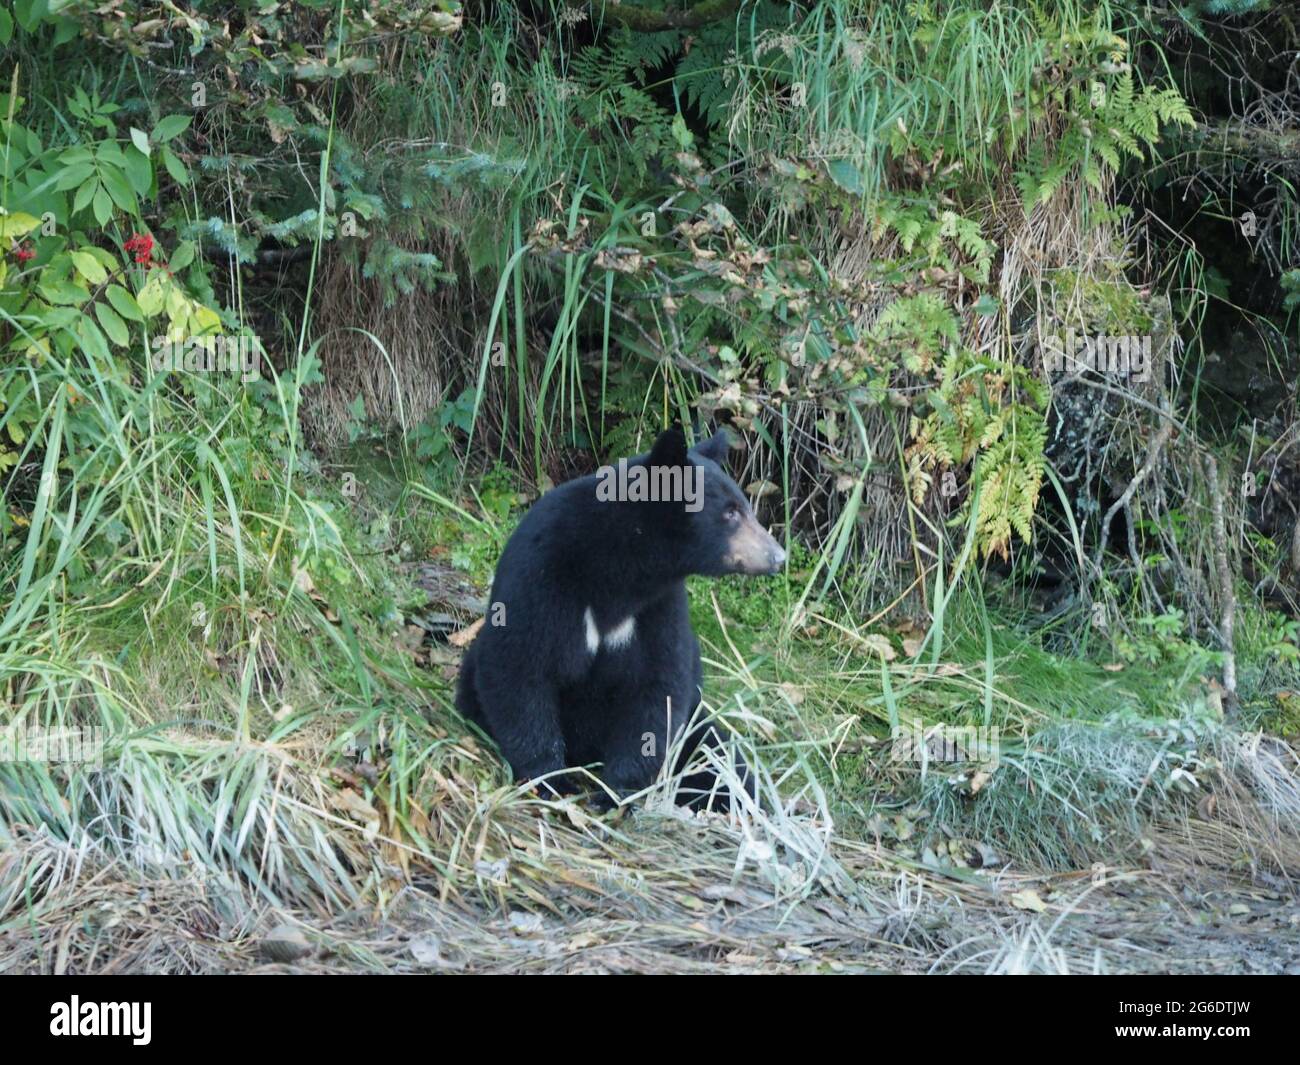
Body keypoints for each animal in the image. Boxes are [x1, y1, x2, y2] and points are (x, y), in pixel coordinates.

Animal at [455, 426, 785, 809]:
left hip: (697, 723)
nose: (779, 556)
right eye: (731, 513)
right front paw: (552, 779)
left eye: (745, 507)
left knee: (718, 757)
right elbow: (518, 669)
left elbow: (656, 690)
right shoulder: (539, 575)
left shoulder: (659, 605)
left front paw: (615, 794)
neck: (621, 570)